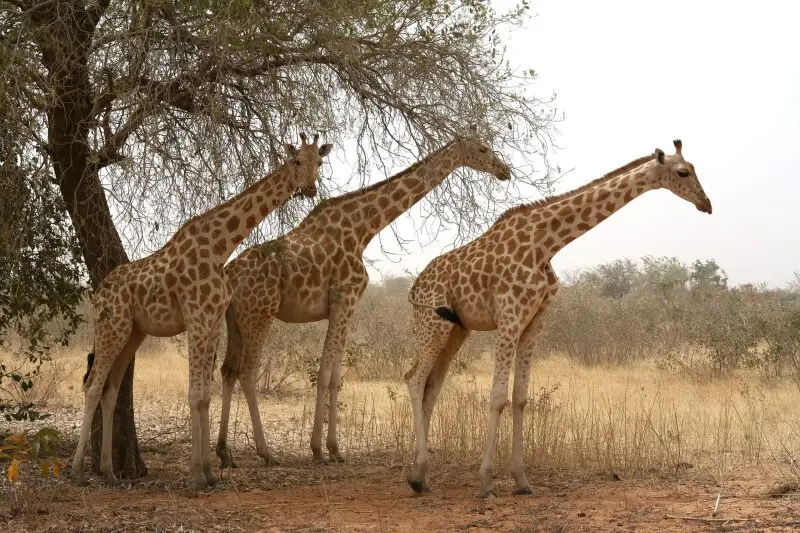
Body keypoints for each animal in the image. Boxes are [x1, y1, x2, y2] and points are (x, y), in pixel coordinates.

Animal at [73, 133, 334, 488]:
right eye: (296, 161)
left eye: (318, 162)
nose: (309, 188)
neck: (220, 248)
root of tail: (98, 294)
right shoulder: (196, 319)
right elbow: (195, 395)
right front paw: (197, 474)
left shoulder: (211, 323)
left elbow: (205, 394)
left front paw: (210, 472)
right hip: (111, 328)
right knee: (92, 386)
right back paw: (77, 471)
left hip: (133, 333)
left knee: (110, 390)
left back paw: (110, 472)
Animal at [215, 129, 512, 467]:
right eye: (483, 148)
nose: (504, 171)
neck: (363, 230)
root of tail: (230, 275)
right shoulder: (344, 300)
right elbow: (325, 373)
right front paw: (320, 449)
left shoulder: (347, 307)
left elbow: (335, 375)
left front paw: (332, 448)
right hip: (259, 313)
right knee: (247, 371)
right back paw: (265, 452)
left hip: (234, 319)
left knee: (228, 370)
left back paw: (224, 452)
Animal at [404, 140, 712, 498]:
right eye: (683, 172)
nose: (706, 204)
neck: (546, 244)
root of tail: (415, 286)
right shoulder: (509, 316)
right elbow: (497, 397)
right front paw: (485, 482)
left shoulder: (535, 321)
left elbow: (520, 397)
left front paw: (522, 480)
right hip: (432, 324)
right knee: (413, 379)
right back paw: (418, 472)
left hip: (456, 330)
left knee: (431, 386)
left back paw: (420, 476)